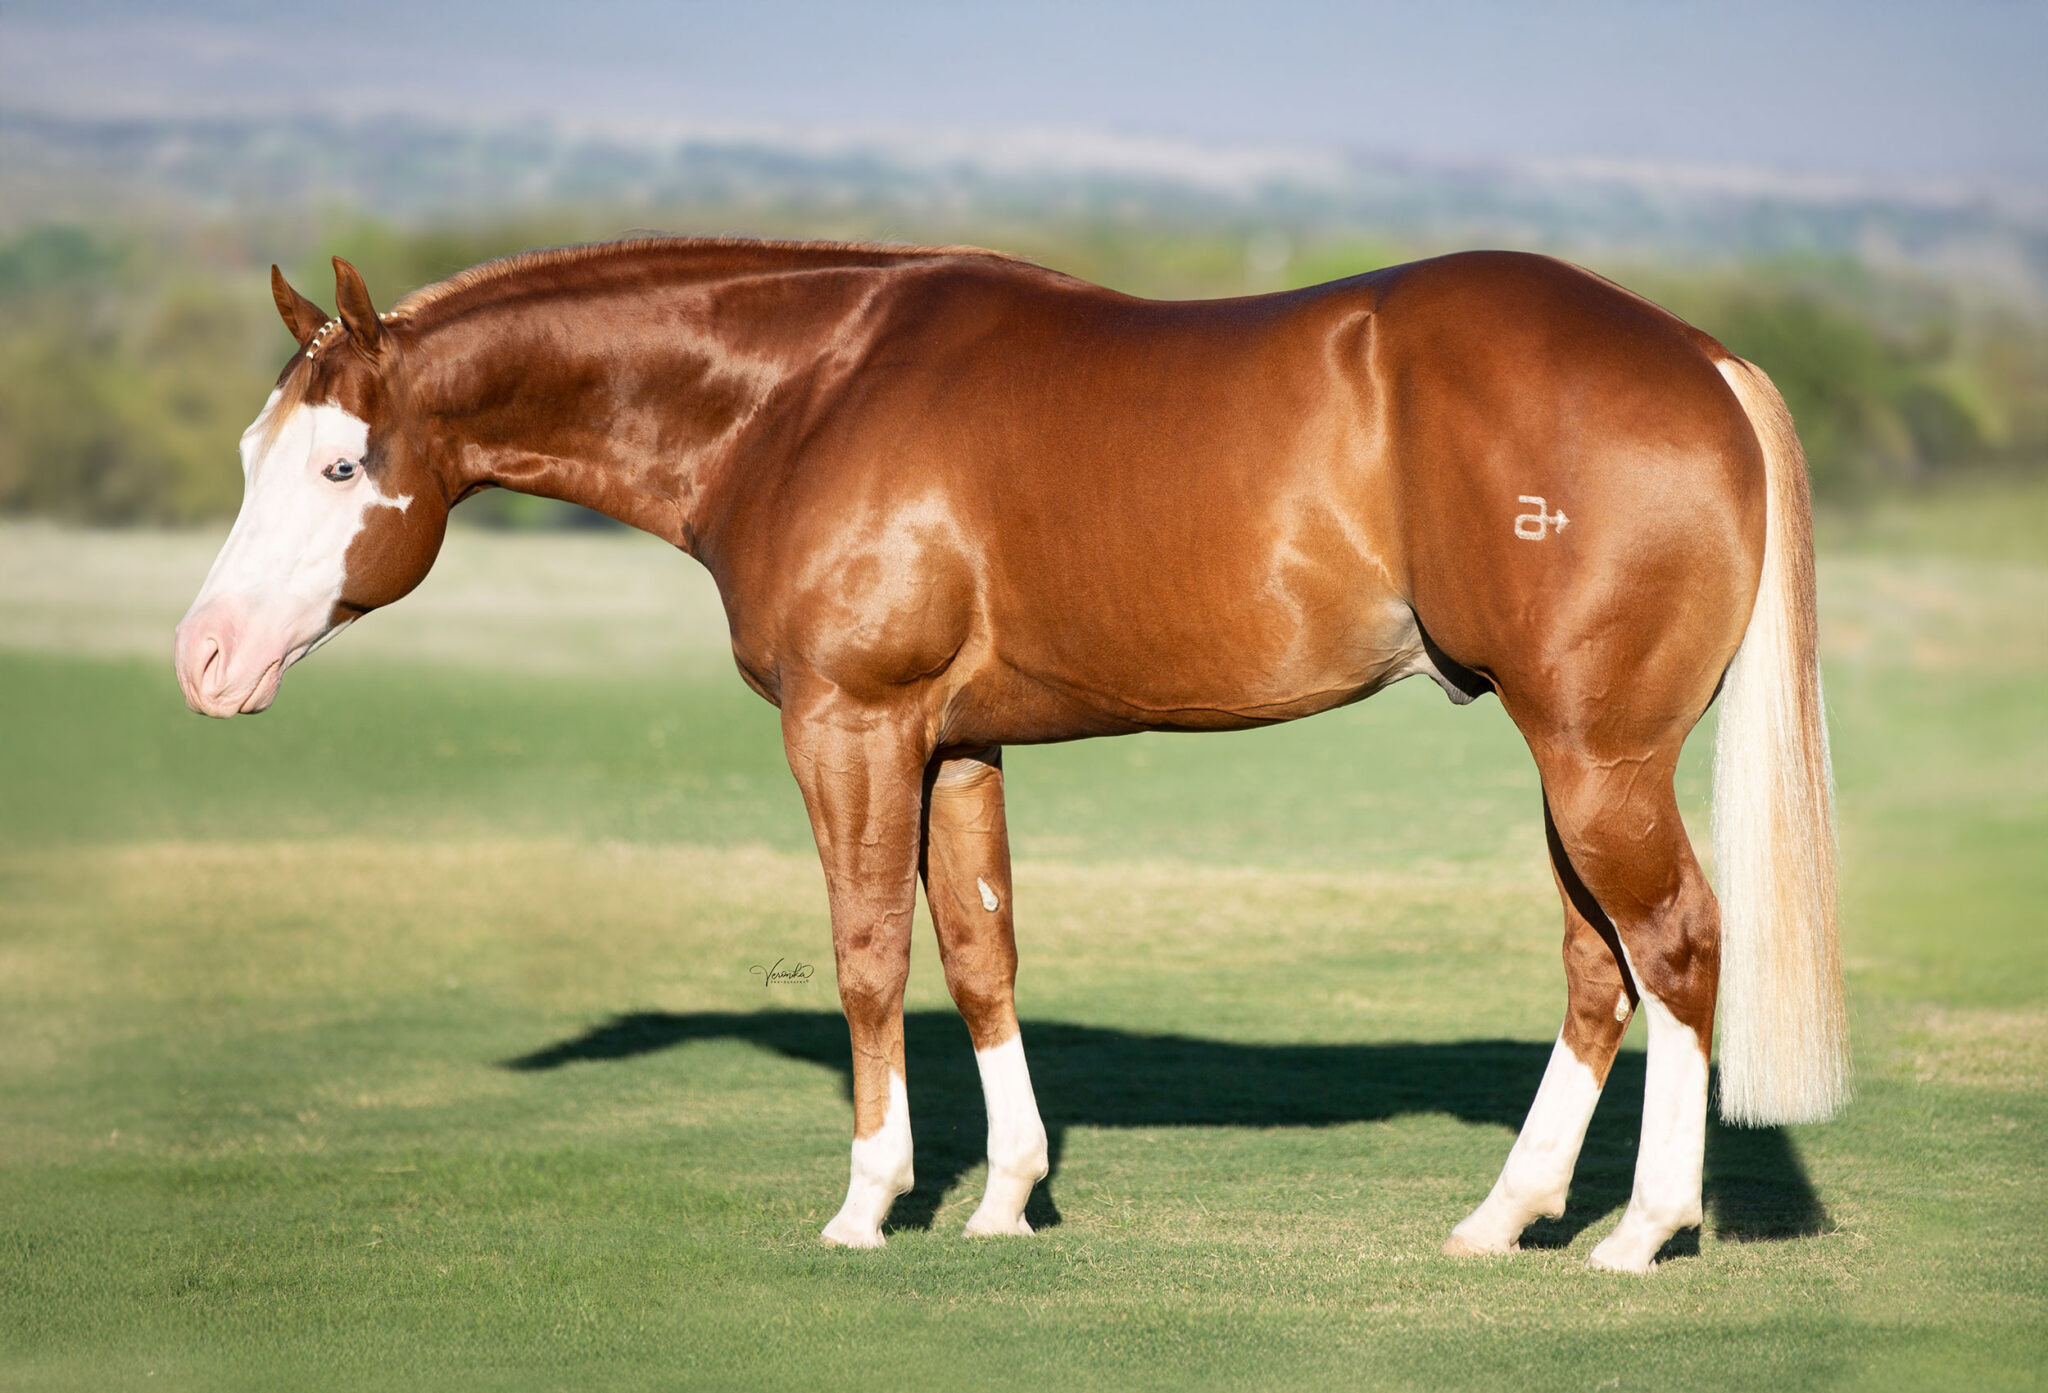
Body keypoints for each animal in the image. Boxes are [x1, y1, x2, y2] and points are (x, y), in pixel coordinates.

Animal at [174, 239, 1847, 1273]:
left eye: (343, 466)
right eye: (257, 458)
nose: (203, 660)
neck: (807, 392)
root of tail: (1702, 359)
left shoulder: (852, 725)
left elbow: (866, 955)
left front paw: (869, 1204)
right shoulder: (958, 745)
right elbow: (980, 954)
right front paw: (1007, 1199)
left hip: (1596, 759)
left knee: (1676, 949)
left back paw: (1642, 1231)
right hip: (1572, 764)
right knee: (1598, 971)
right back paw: (1508, 1216)